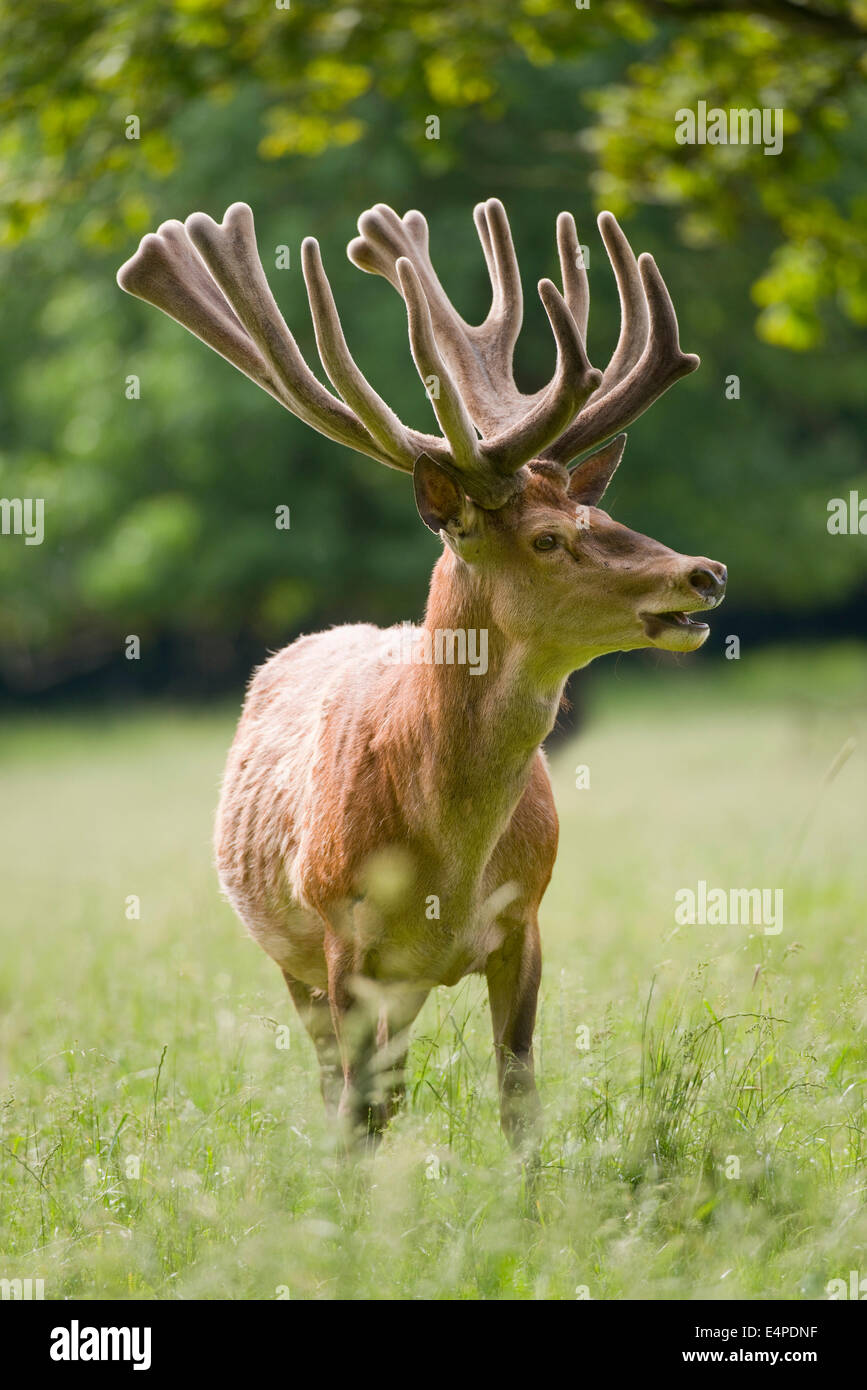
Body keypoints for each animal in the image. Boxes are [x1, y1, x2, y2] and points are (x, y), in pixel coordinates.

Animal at [117, 197, 726, 1152]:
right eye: (547, 538)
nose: (704, 573)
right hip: (295, 960)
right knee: (342, 1091)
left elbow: (518, 1101)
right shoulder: (342, 940)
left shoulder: (525, 924)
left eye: (602, 513)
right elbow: (357, 1119)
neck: (450, 863)